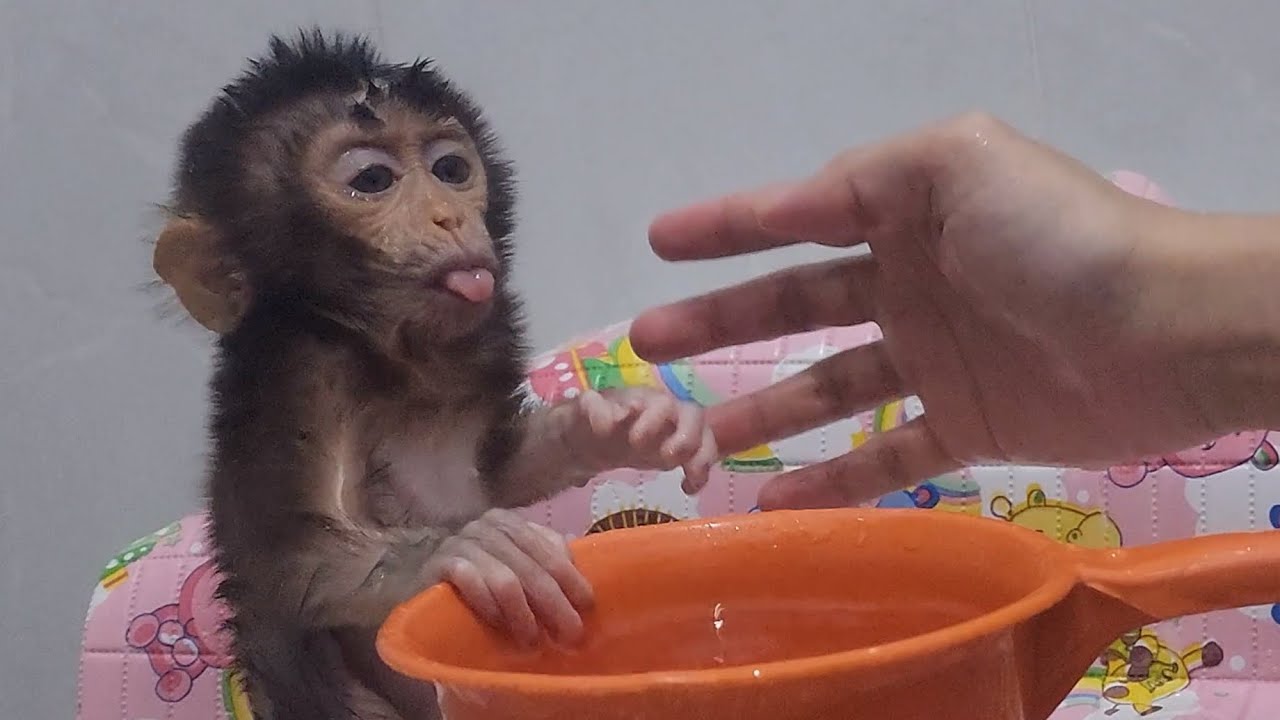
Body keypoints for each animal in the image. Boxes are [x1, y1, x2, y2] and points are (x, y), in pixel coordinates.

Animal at [150, 29, 719, 720]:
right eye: (372, 180)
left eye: (451, 170)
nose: (450, 216)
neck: (395, 365)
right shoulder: (295, 379)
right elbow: (287, 564)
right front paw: (467, 550)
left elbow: (501, 470)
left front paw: (617, 421)